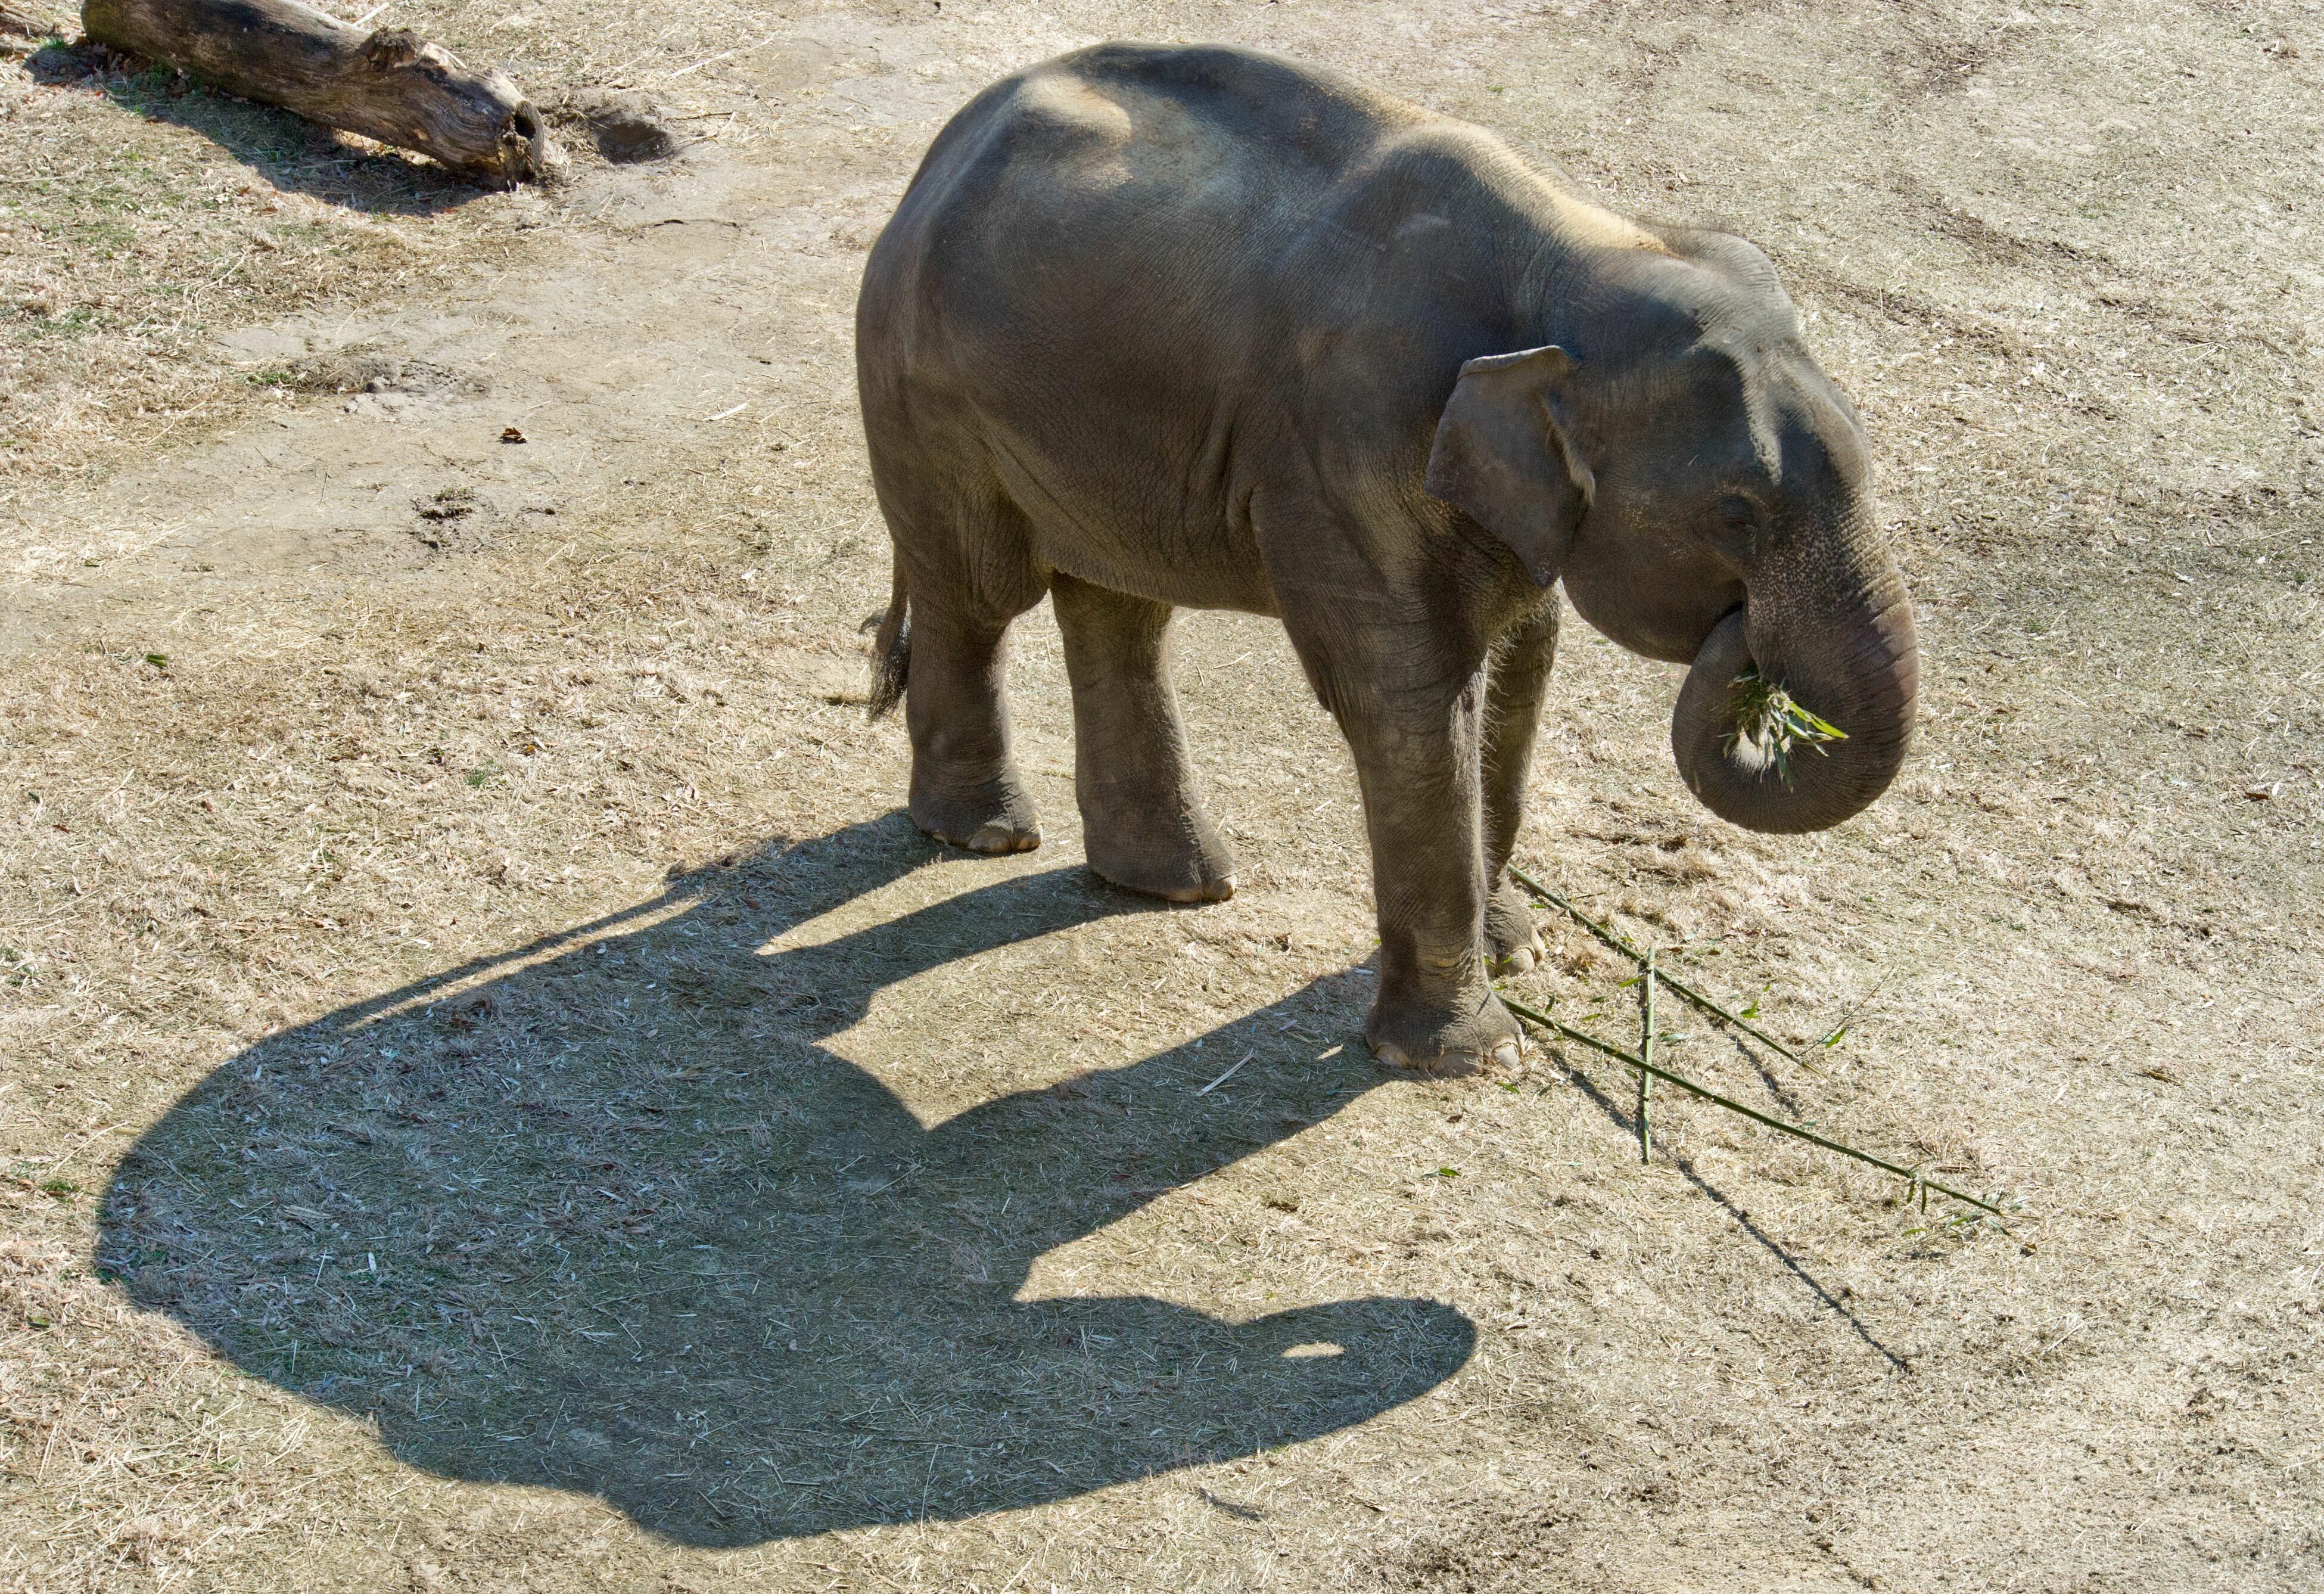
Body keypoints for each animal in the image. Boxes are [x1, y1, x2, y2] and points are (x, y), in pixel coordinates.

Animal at [853, 43, 1918, 1074]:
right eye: (1737, 513)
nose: (1746, 646)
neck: (1579, 252)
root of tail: (943, 148)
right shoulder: (1347, 446)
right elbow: (1410, 697)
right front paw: (1469, 1056)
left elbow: (1522, 666)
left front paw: (1514, 950)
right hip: (925, 390)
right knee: (978, 590)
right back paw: (987, 833)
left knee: (1118, 606)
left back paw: (1172, 882)